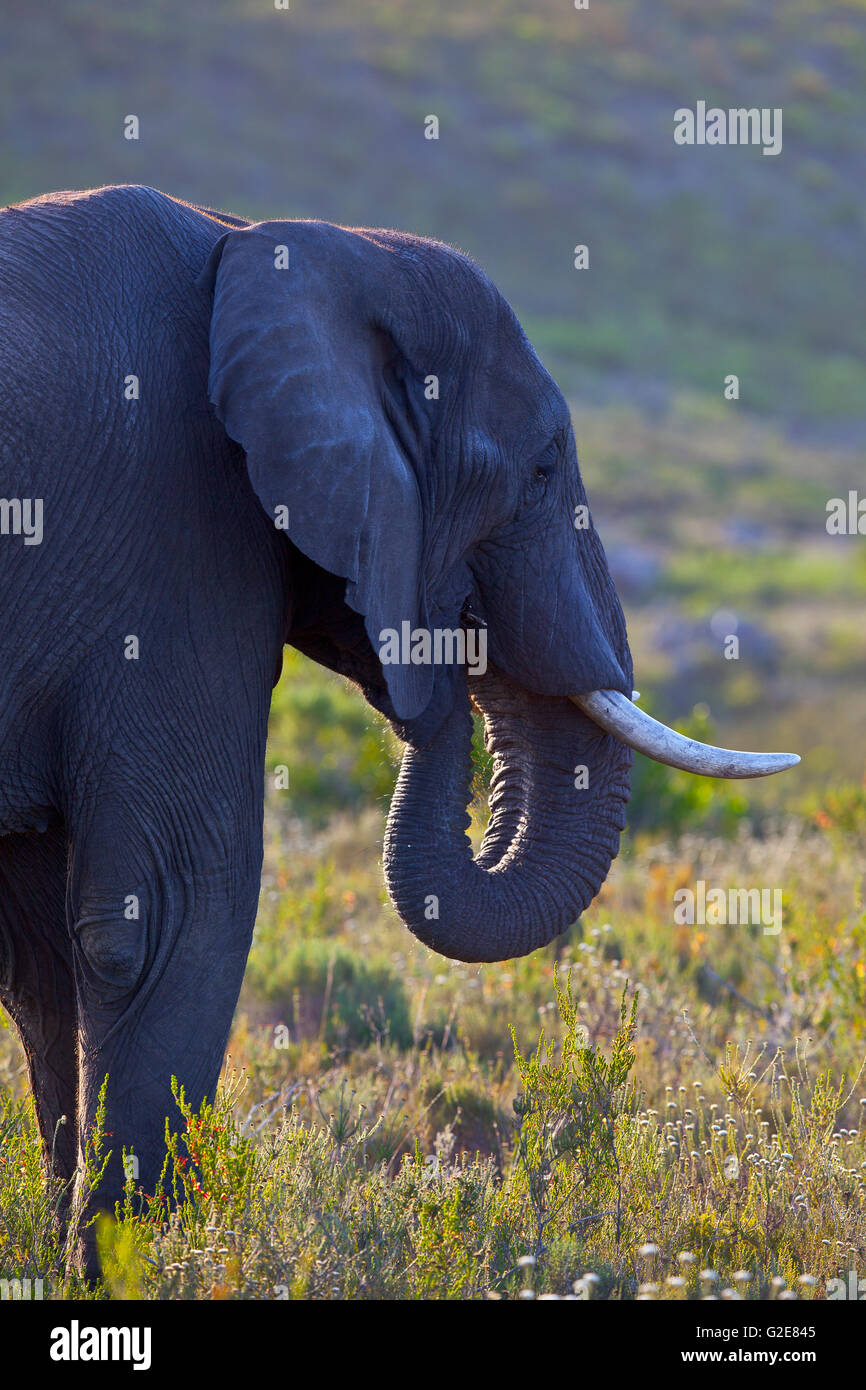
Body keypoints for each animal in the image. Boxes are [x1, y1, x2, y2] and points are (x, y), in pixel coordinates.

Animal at [0, 184, 797, 1273]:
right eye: (541, 469)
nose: (438, 649)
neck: (277, 244)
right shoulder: (170, 531)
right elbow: (167, 907)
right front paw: (130, 1272)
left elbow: (43, 953)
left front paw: (64, 1264)